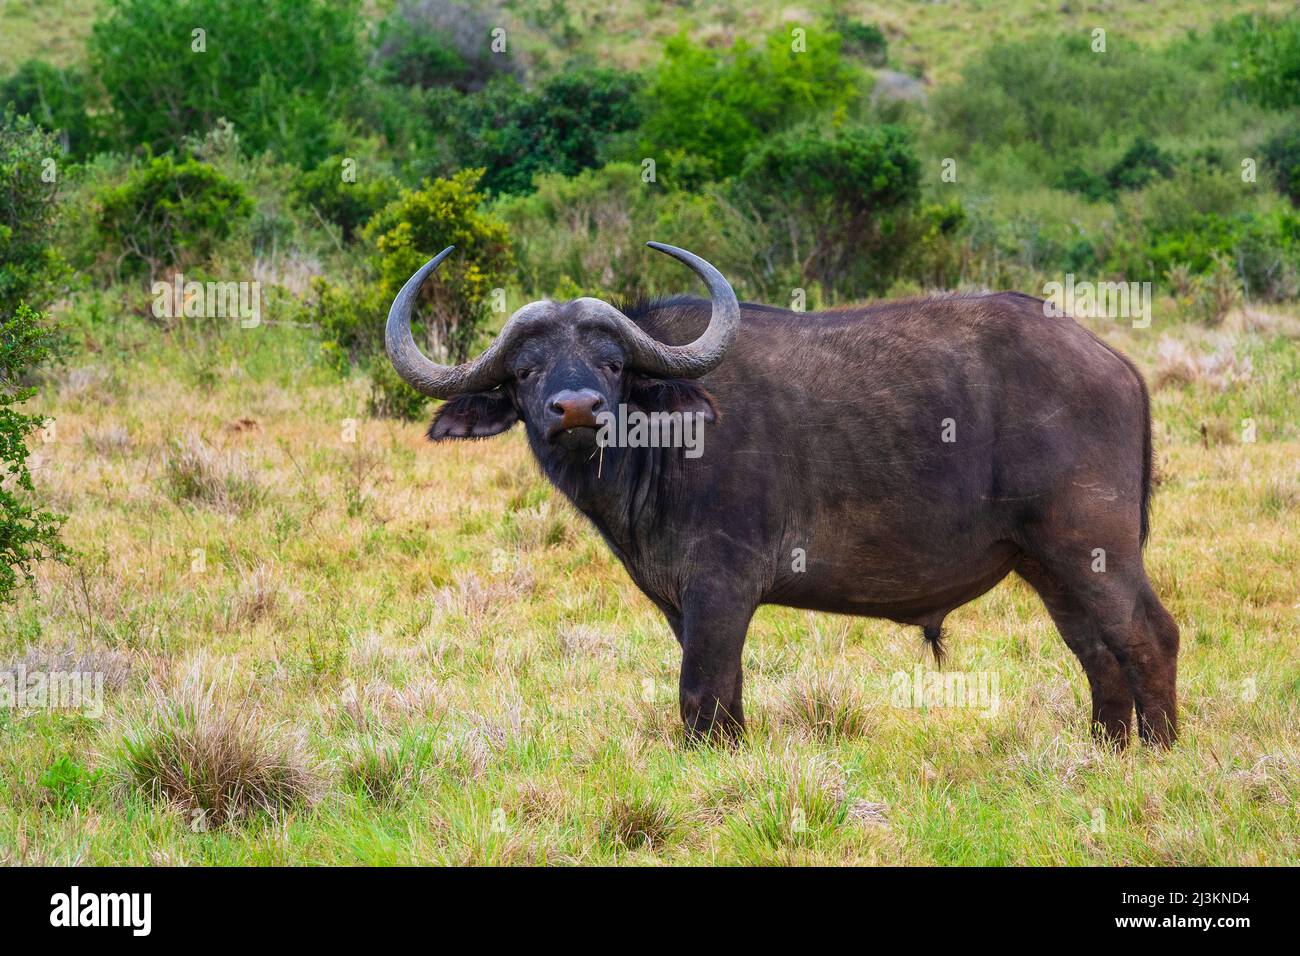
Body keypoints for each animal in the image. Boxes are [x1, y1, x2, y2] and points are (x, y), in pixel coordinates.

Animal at [385, 243, 1179, 748]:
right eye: (525, 370)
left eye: (612, 363)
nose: (575, 409)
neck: (661, 444)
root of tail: (1113, 362)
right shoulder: (683, 602)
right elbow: (726, 694)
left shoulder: (723, 585)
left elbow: (701, 691)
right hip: (1045, 563)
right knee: (1095, 648)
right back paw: (1109, 750)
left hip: (1091, 547)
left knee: (1148, 635)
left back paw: (1162, 751)